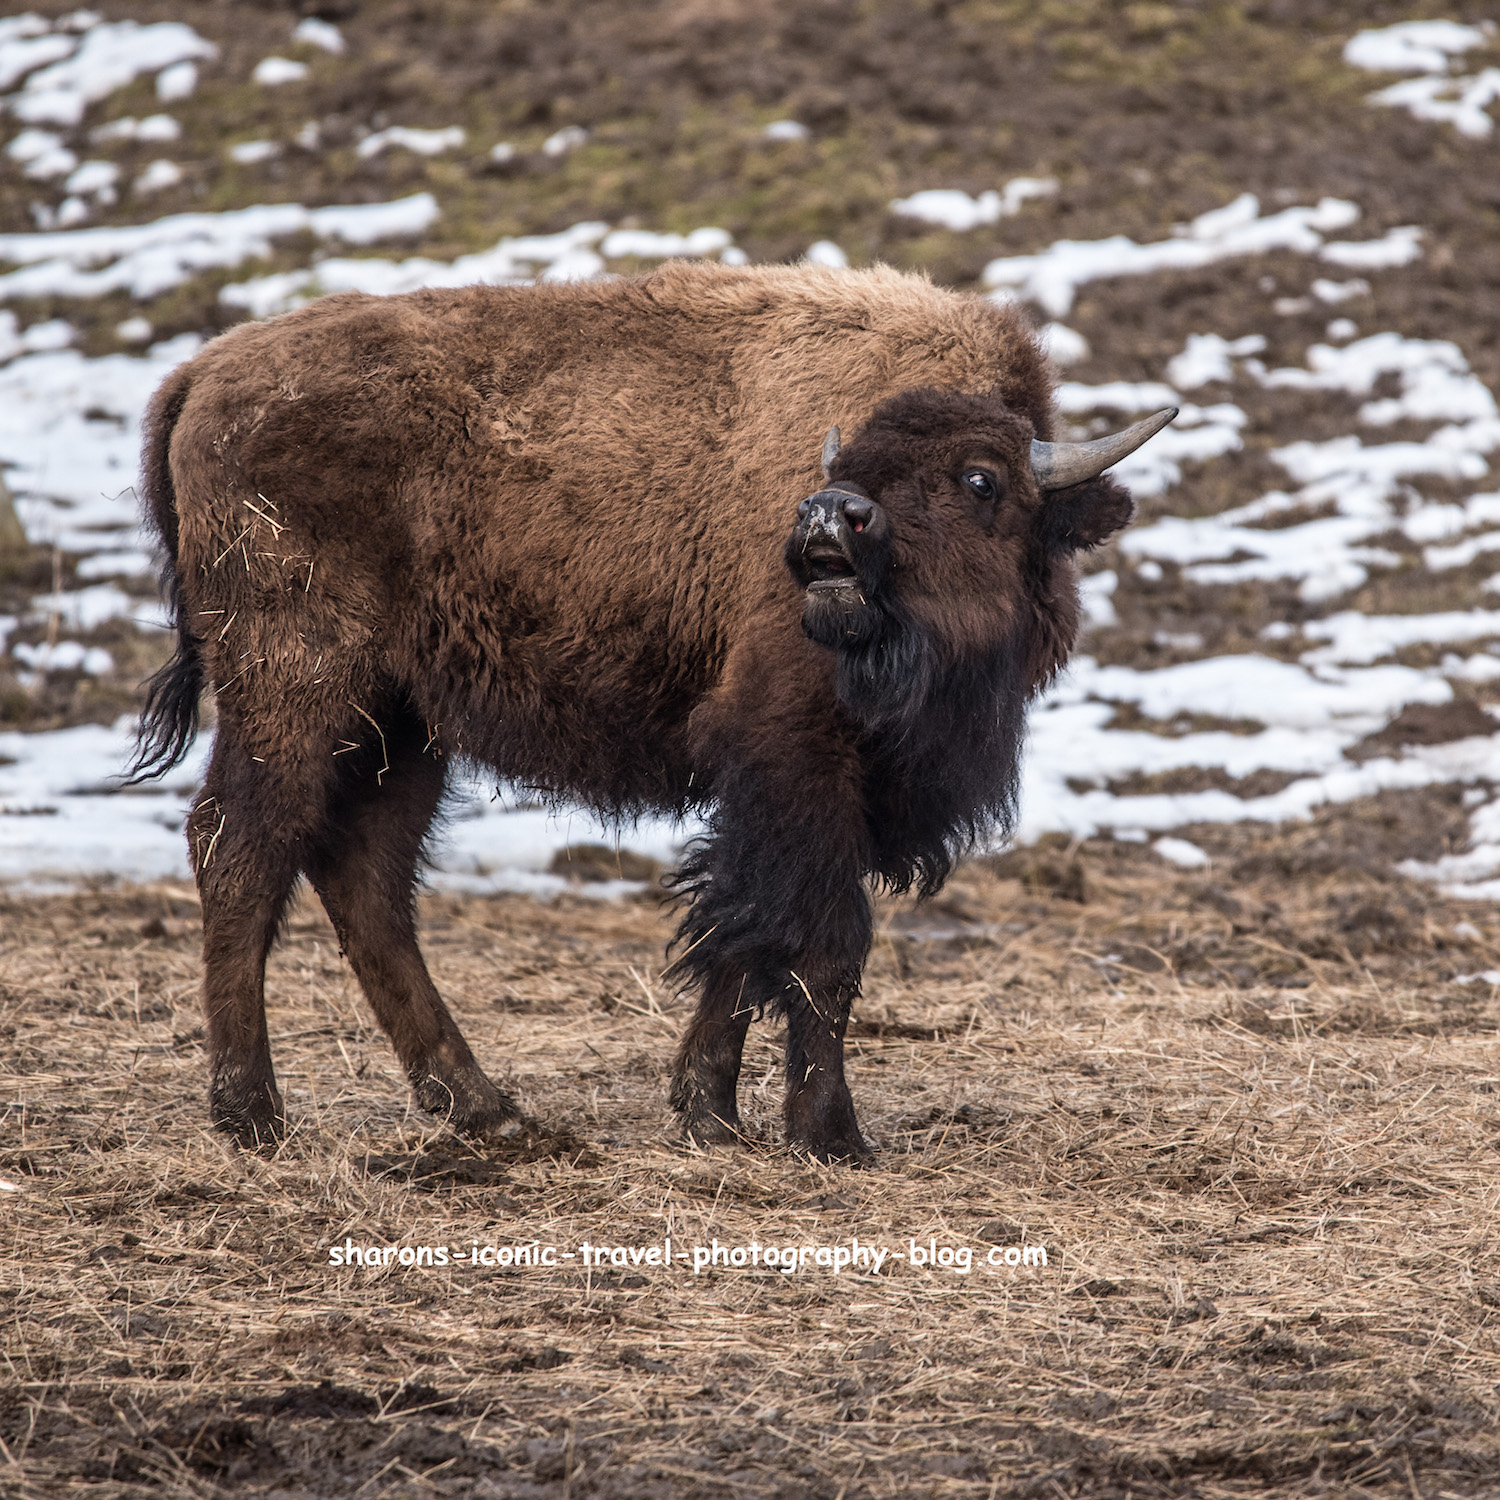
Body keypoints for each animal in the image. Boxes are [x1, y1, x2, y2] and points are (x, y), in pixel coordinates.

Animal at [129, 261, 1173, 1162]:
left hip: (404, 725)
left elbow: (741, 932)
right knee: (241, 848)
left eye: (980, 478)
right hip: (297, 691)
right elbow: (818, 942)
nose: (828, 517)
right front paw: (829, 1134)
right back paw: (254, 1115)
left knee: (365, 880)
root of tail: (202, 374)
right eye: (857, 465)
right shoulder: (799, 759)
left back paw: (486, 1110)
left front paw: (708, 1111)